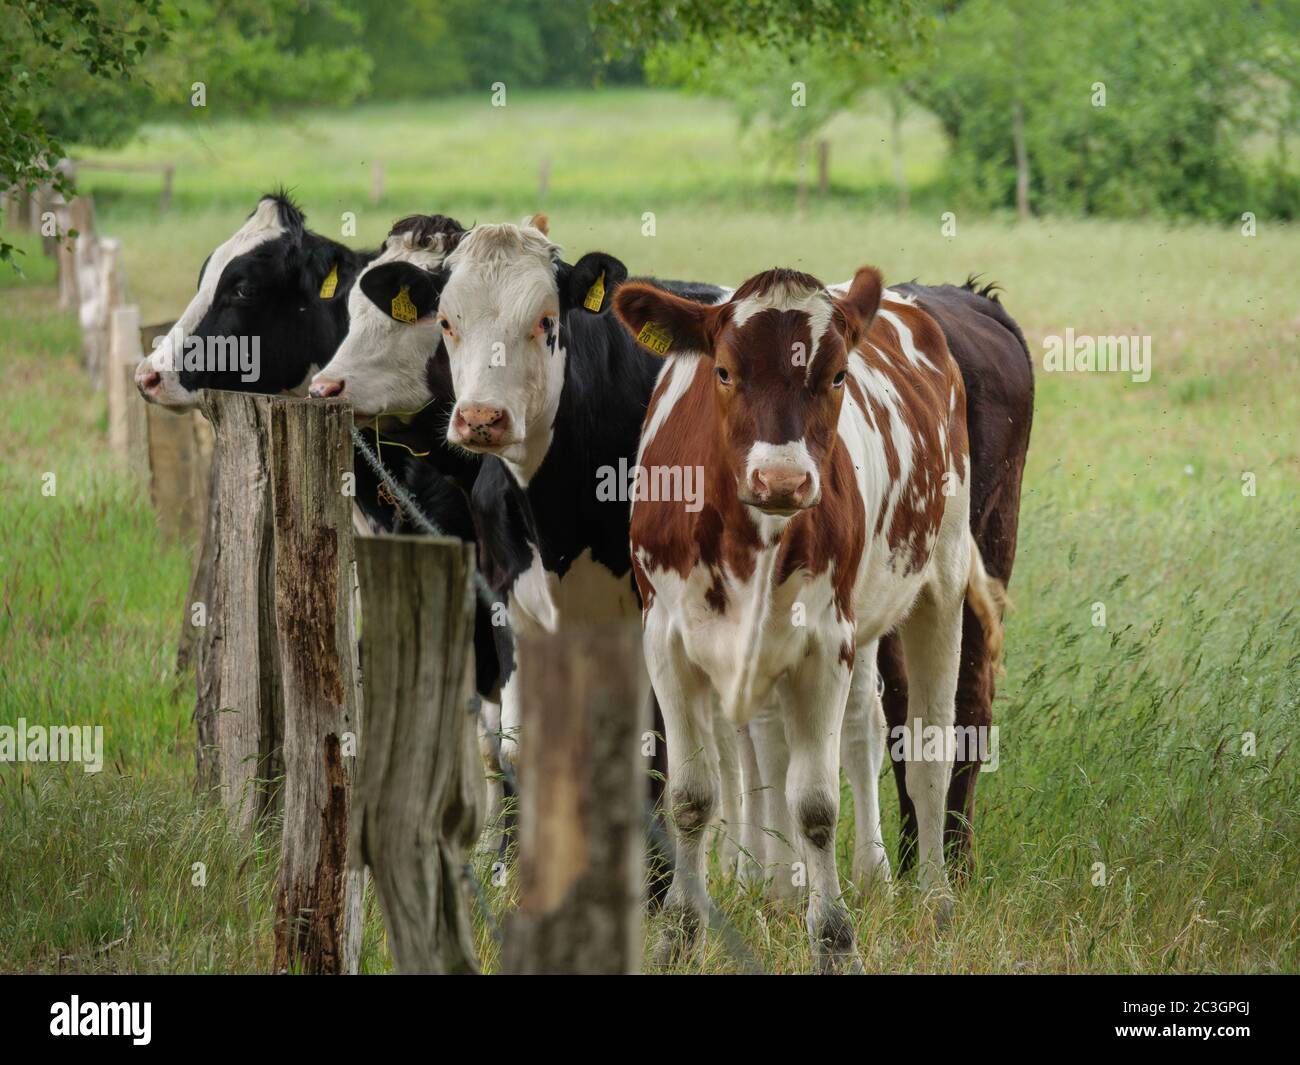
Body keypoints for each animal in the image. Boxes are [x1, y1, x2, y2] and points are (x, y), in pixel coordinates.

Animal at [610, 266, 1006, 971]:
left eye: (837, 374)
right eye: (724, 371)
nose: (781, 479)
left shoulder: (824, 644)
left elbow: (815, 803)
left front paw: (834, 940)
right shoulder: (668, 640)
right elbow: (692, 795)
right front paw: (679, 934)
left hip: (941, 581)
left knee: (928, 749)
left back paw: (934, 899)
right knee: (851, 730)